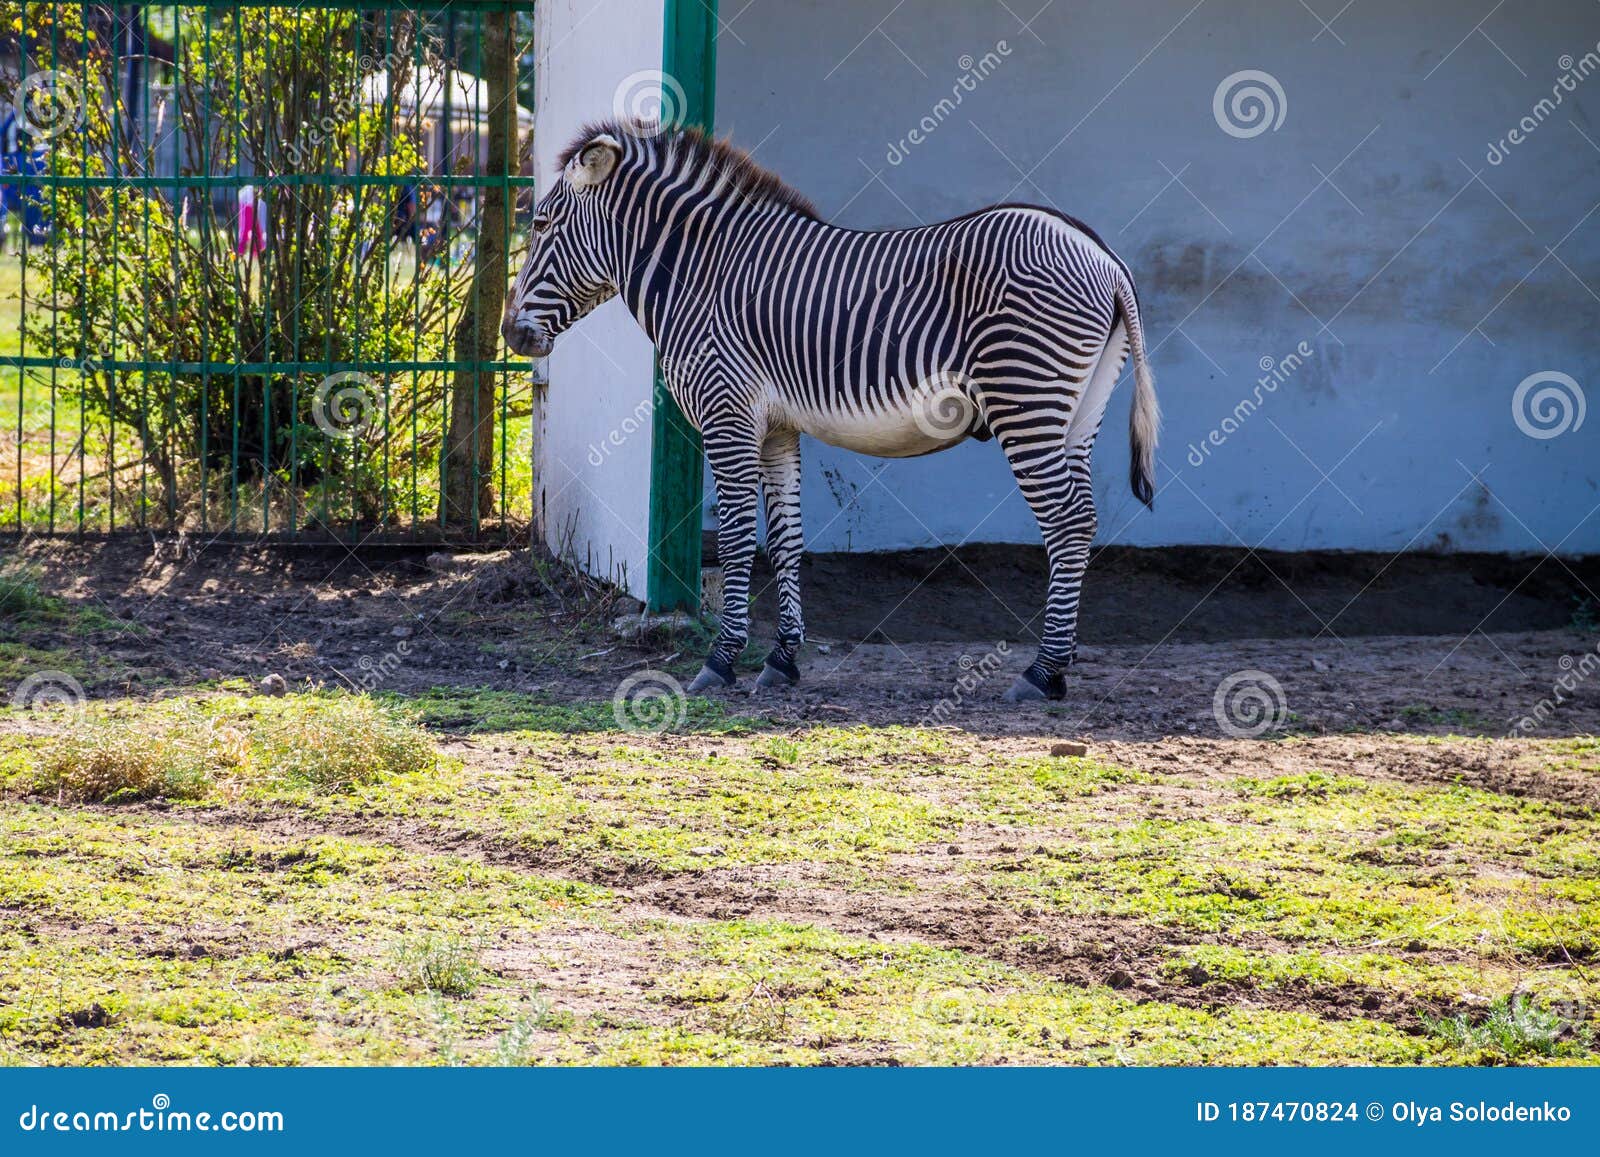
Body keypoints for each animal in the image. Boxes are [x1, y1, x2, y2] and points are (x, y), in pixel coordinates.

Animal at [503, 121, 1158, 703]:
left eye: (541, 224)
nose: (512, 335)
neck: (703, 273)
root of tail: (1103, 255)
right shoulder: (776, 428)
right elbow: (786, 540)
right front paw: (781, 659)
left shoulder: (727, 414)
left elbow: (738, 537)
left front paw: (721, 661)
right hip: (1076, 414)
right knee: (1084, 519)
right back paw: (1060, 665)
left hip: (1026, 403)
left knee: (1067, 523)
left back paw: (1041, 673)